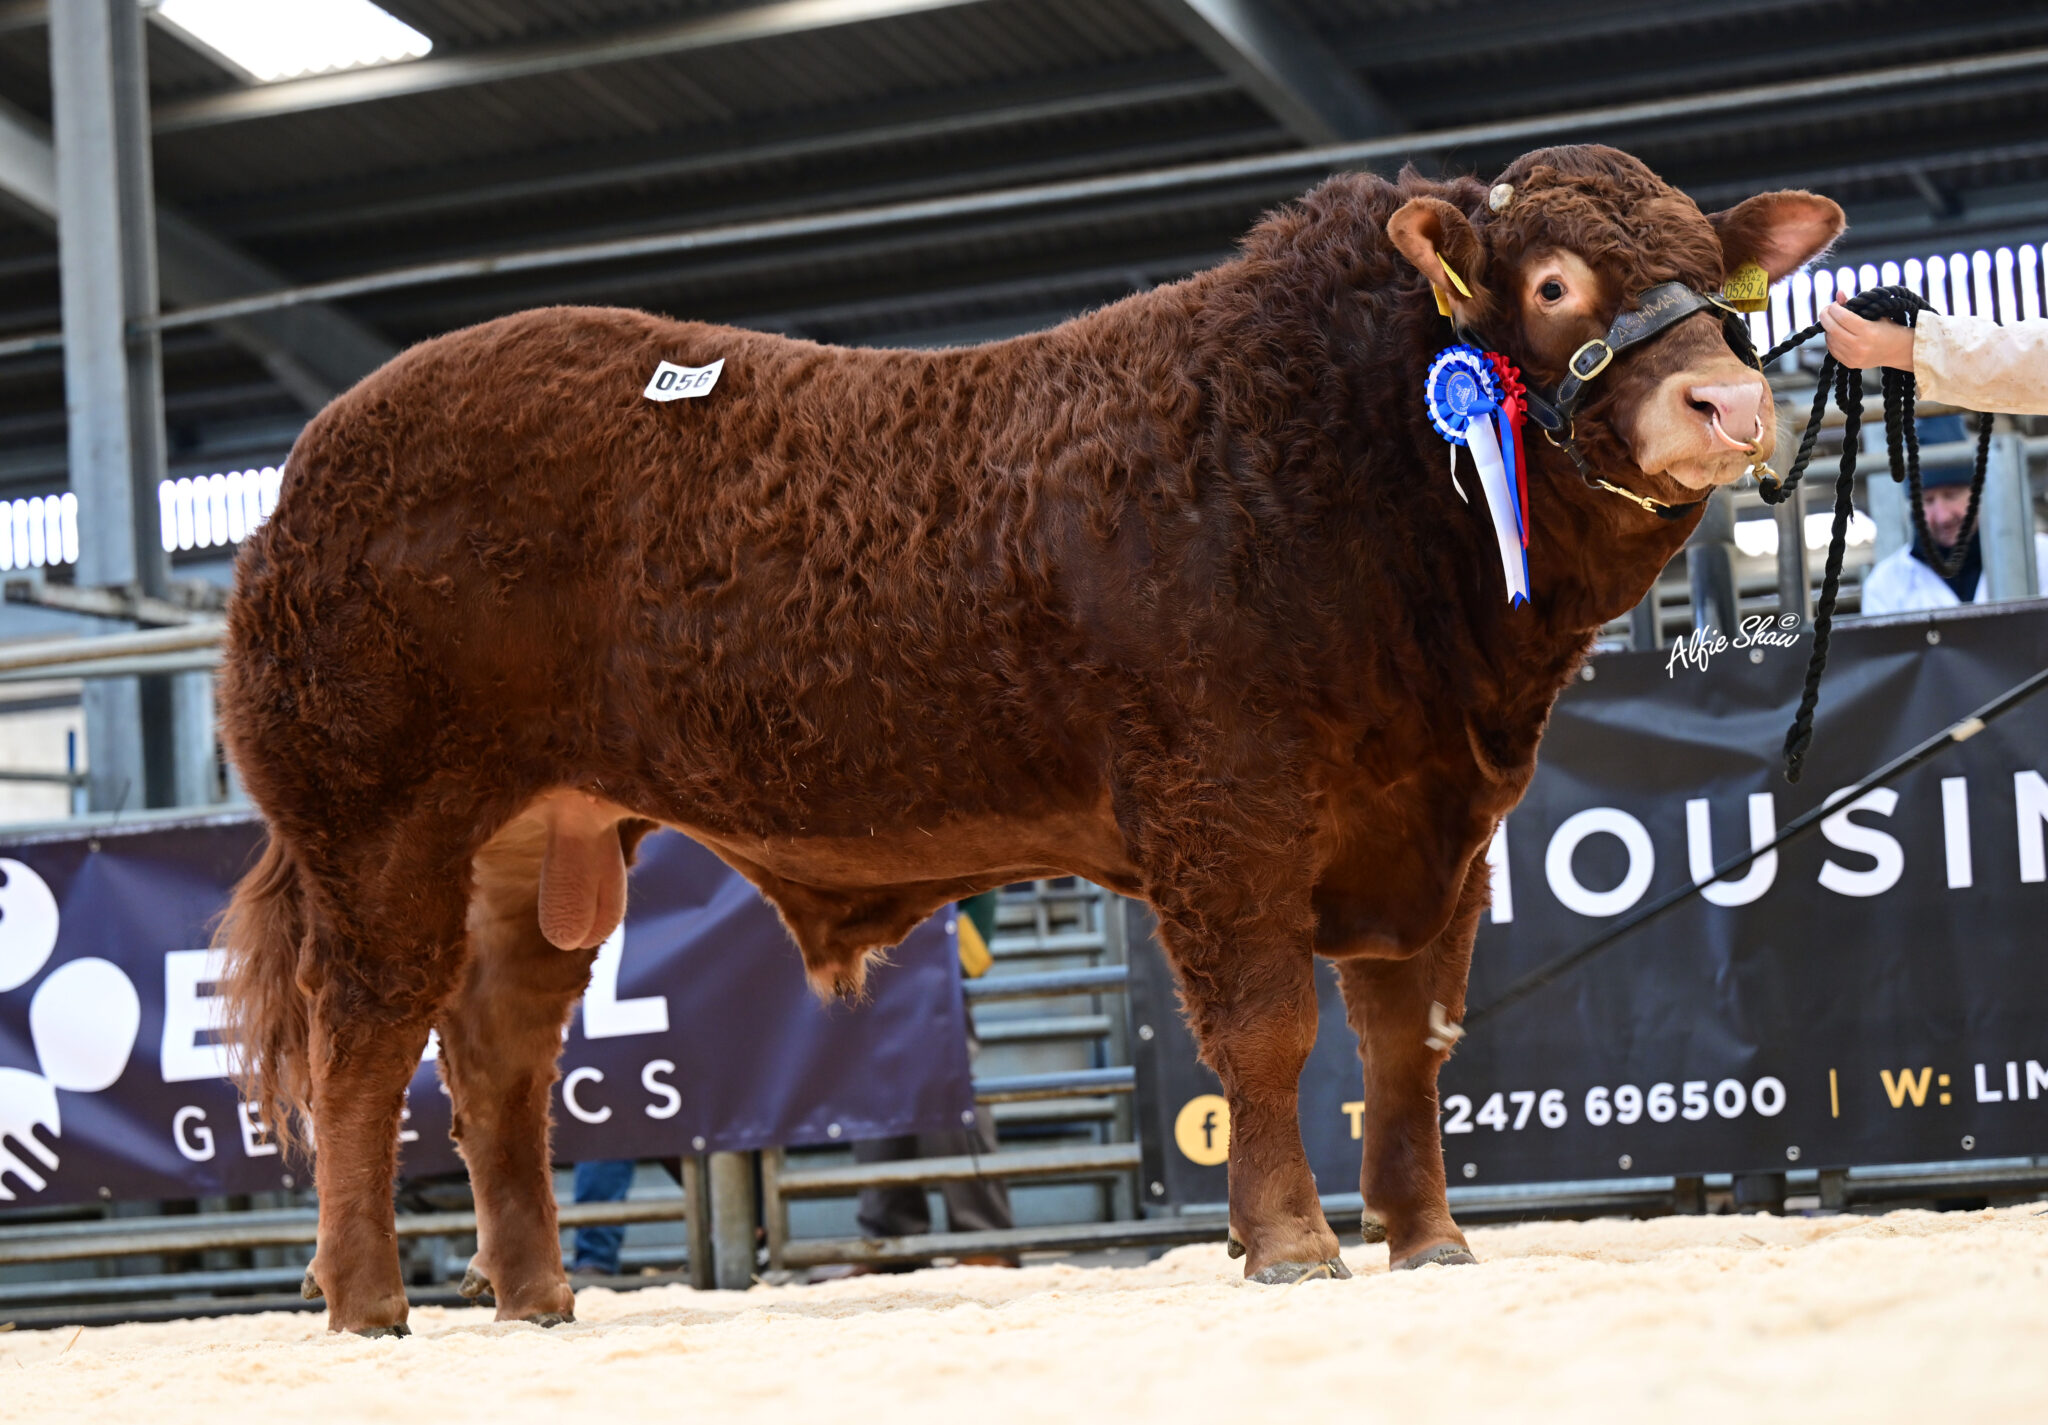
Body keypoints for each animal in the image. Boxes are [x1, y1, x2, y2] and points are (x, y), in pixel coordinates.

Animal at [216, 144, 1843, 1334]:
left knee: (498, 1054)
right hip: (375, 821)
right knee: (363, 1051)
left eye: (1716, 278)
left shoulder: (1437, 821)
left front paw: (1428, 1239)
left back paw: (538, 1296)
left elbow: (1409, 1042)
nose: (1727, 397)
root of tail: (319, 457)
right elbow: (1268, 1028)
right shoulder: (1221, 801)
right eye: (1557, 281)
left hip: (537, 839)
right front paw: (1291, 1244)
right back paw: (366, 1305)